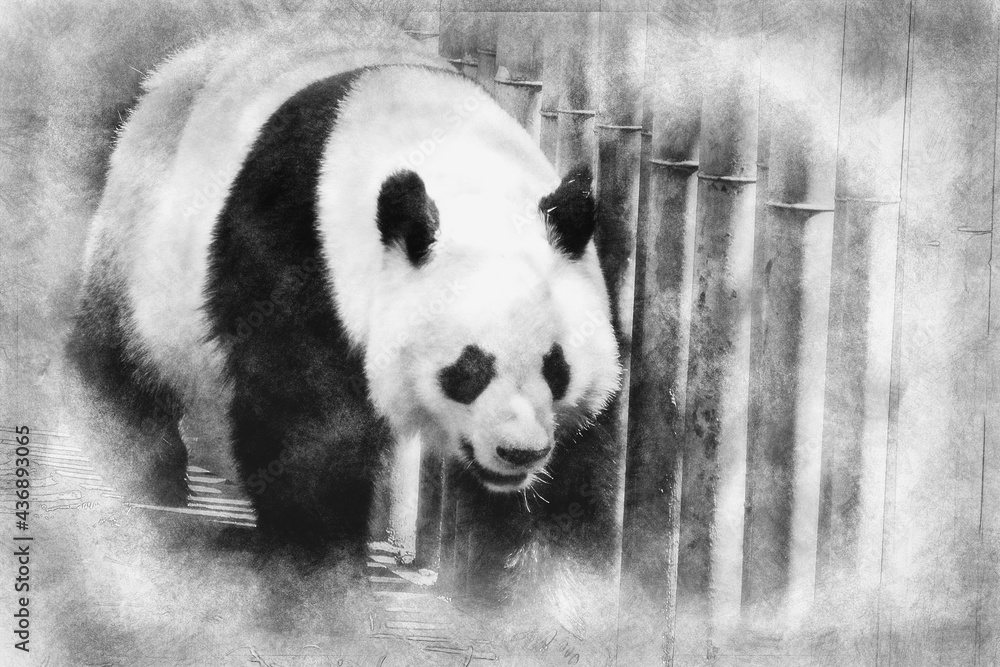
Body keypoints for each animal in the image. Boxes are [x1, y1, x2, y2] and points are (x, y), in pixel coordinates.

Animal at [70, 14, 621, 568]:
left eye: (557, 367)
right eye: (468, 369)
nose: (518, 451)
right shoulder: (297, 247)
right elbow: (307, 423)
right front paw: (315, 554)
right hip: (143, 234)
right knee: (120, 358)